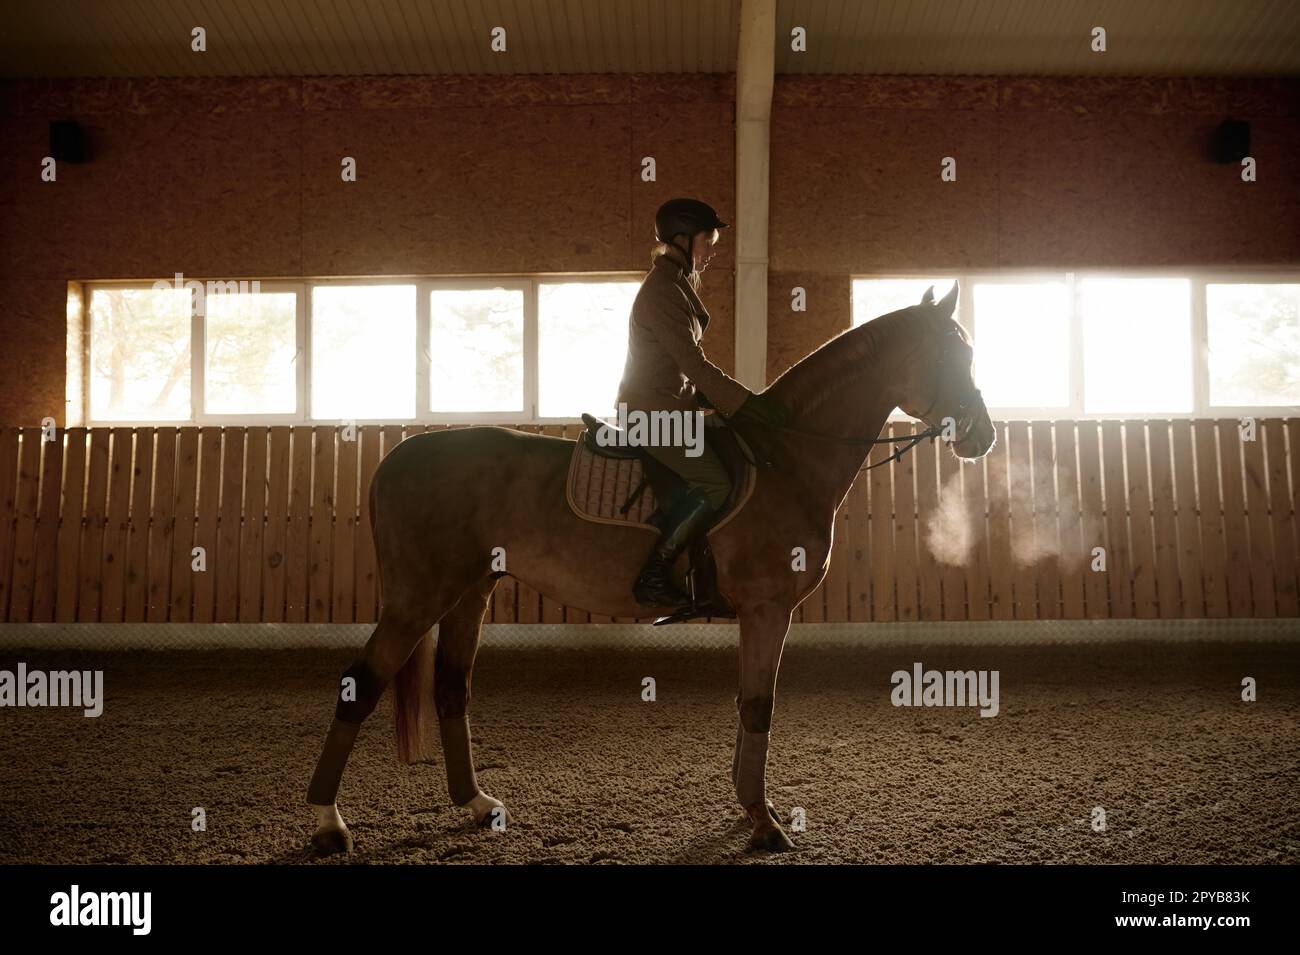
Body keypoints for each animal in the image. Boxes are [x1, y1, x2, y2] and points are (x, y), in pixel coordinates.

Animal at [305, 280, 996, 854]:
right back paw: (327, 823)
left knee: (452, 687)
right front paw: (763, 822)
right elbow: (758, 705)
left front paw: (751, 809)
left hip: (469, 592)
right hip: (420, 595)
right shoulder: (767, 608)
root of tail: (401, 454)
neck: (785, 458)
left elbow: (749, 705)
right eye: (949, 357)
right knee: (361, 682)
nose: (983, 436)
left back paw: (475, 805)